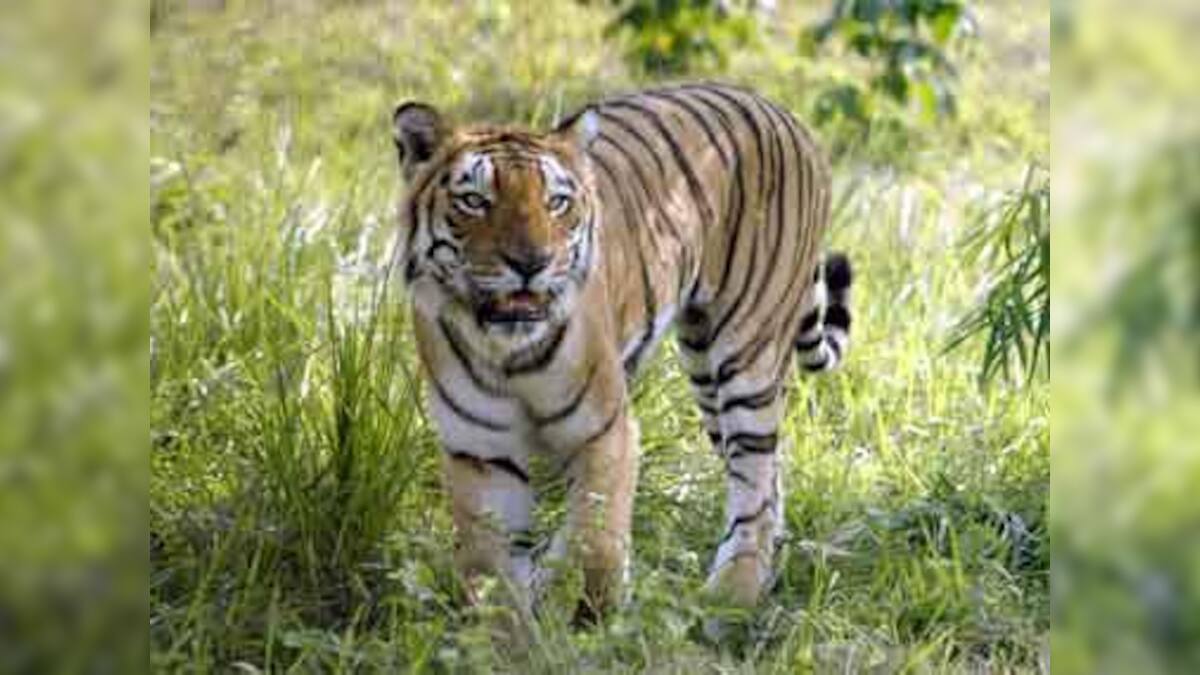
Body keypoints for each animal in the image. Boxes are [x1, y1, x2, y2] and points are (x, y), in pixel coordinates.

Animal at [391, 82, 853, 622]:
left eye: (556, 202)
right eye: (474, 200)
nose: (531, 263)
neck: (509, 353)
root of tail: (784, 112)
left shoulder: (604, 429)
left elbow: (595, 532)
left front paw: (597, 615)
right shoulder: (481, 448)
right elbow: (492, 564)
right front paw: (504, 626)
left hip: (746, 353)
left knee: (755, 480)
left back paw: (732, 594)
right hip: (703, 366)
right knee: (771, 479)